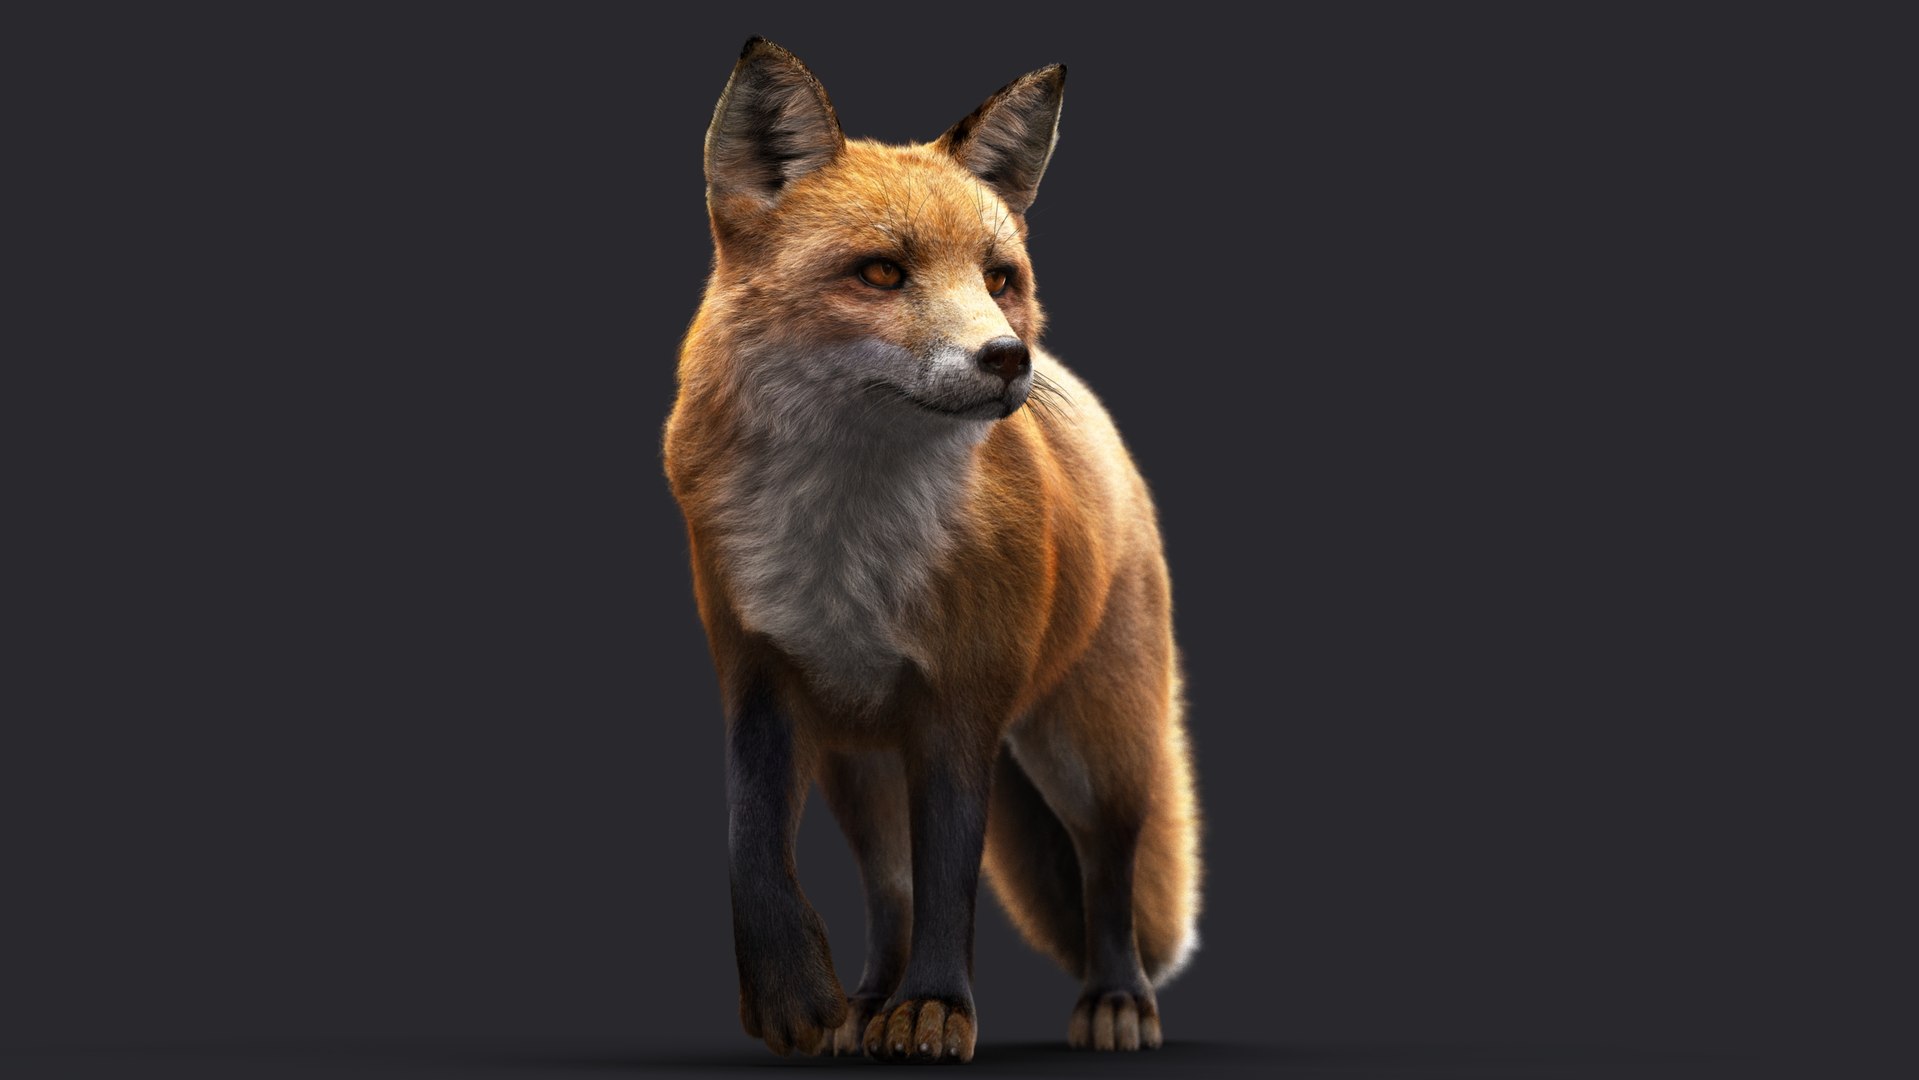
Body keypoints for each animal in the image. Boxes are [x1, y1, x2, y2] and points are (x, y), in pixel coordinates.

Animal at [662, 38, 1202, 1062]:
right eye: (880, 274)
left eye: (998, 278)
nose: (1006, 359)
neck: (842, 548)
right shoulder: (755, 672)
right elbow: (752, 840)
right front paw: (794, 996)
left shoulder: (961, 704)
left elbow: (954, 878)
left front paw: (939, 1009)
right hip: (863, 764)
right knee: (889, 889)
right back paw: (869, 998)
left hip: (1091, 747)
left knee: (1107, 872)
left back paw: (1115, 999)